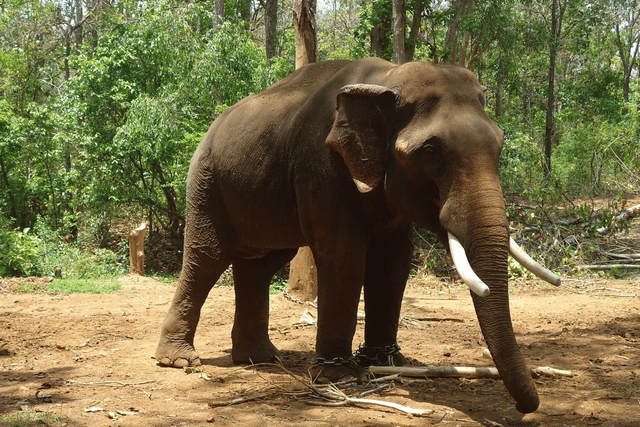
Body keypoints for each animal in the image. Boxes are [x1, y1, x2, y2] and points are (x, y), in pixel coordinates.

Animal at [155, 57, 561, 414]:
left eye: (500, 142)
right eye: (431, 150)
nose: (527, 407)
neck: (386, 79)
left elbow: (392, 259)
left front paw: (387, 362)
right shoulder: (321, 164)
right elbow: (344, 253)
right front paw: (336, 376)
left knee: (262, 265)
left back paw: (260, 359)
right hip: (207, 182)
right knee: (207, 258)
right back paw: (180, 361)